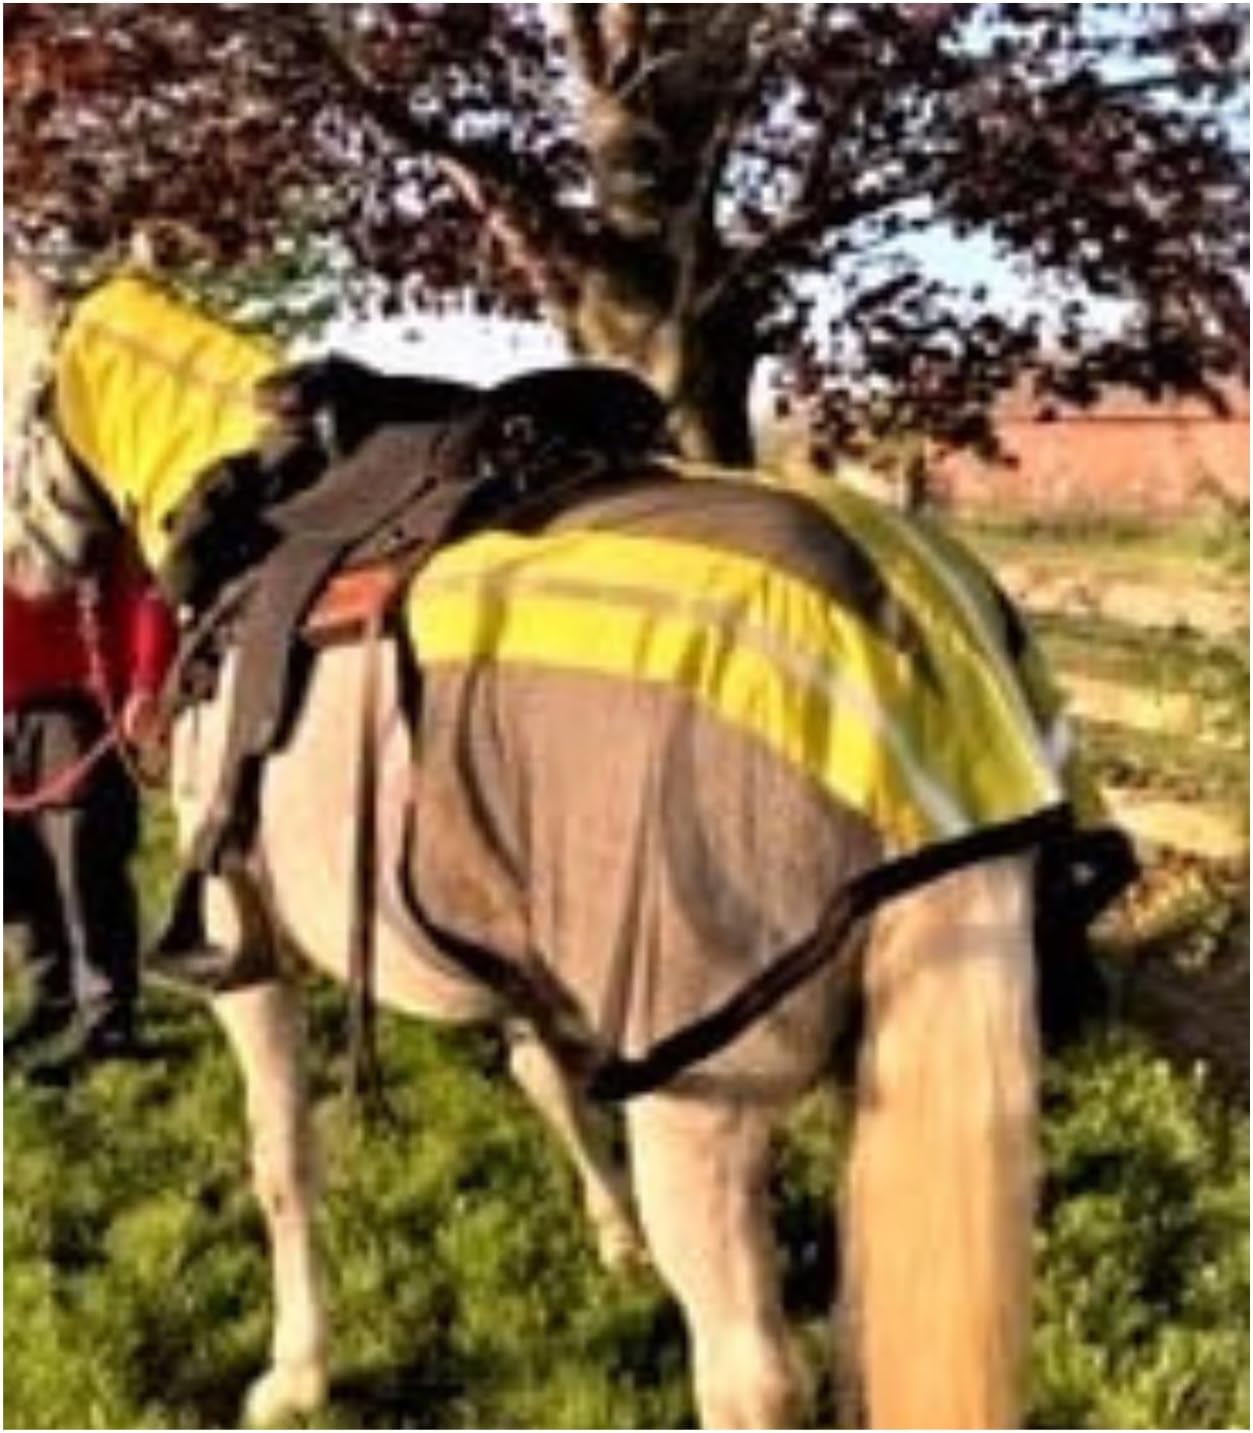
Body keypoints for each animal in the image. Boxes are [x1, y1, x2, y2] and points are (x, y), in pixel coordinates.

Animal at [4, 262, 1080, 1429]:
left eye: (12, 406)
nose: (25, 581)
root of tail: (898, 635)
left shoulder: (247, 956)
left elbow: (283, 1159)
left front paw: (295, 1371)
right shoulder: (503, 945)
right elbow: (546, 1081)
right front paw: (614, 1240)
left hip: (700, 1098)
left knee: (749, 1369)